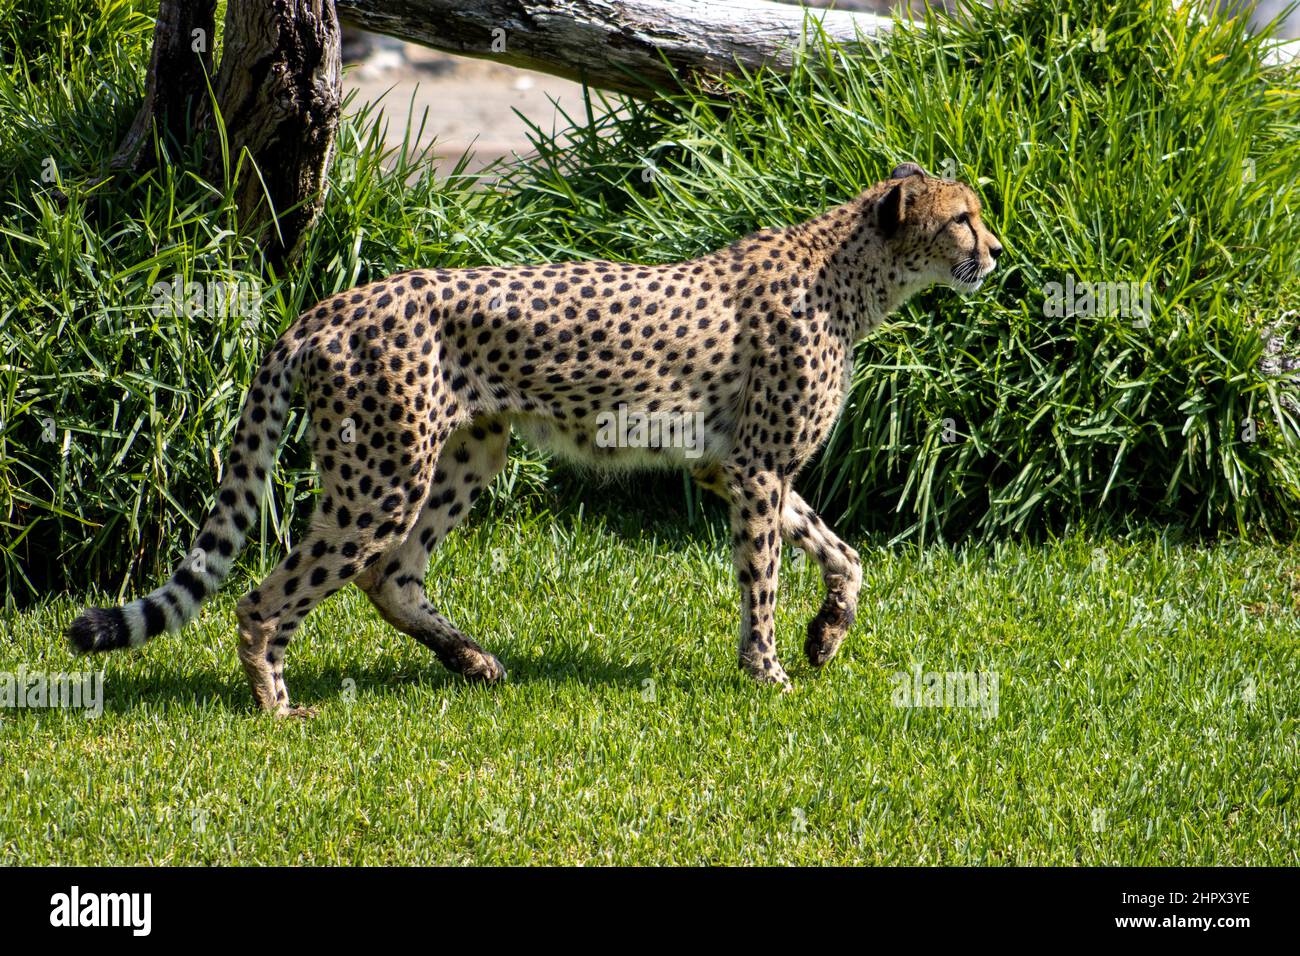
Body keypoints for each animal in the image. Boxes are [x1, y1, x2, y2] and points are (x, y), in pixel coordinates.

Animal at [67, 162, 1002, 716]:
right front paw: (766, 670)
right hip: (382, 475)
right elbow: (762, 579)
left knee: (387, 574)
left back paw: (472, 661)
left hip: (464, 453)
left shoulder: (730, 467)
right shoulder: (757, 469)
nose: (996, 251)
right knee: (269, 597)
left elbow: (843, 552)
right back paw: (274, 704)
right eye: (962, 218)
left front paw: (827, 632)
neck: (850, 272)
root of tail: (330, 305)